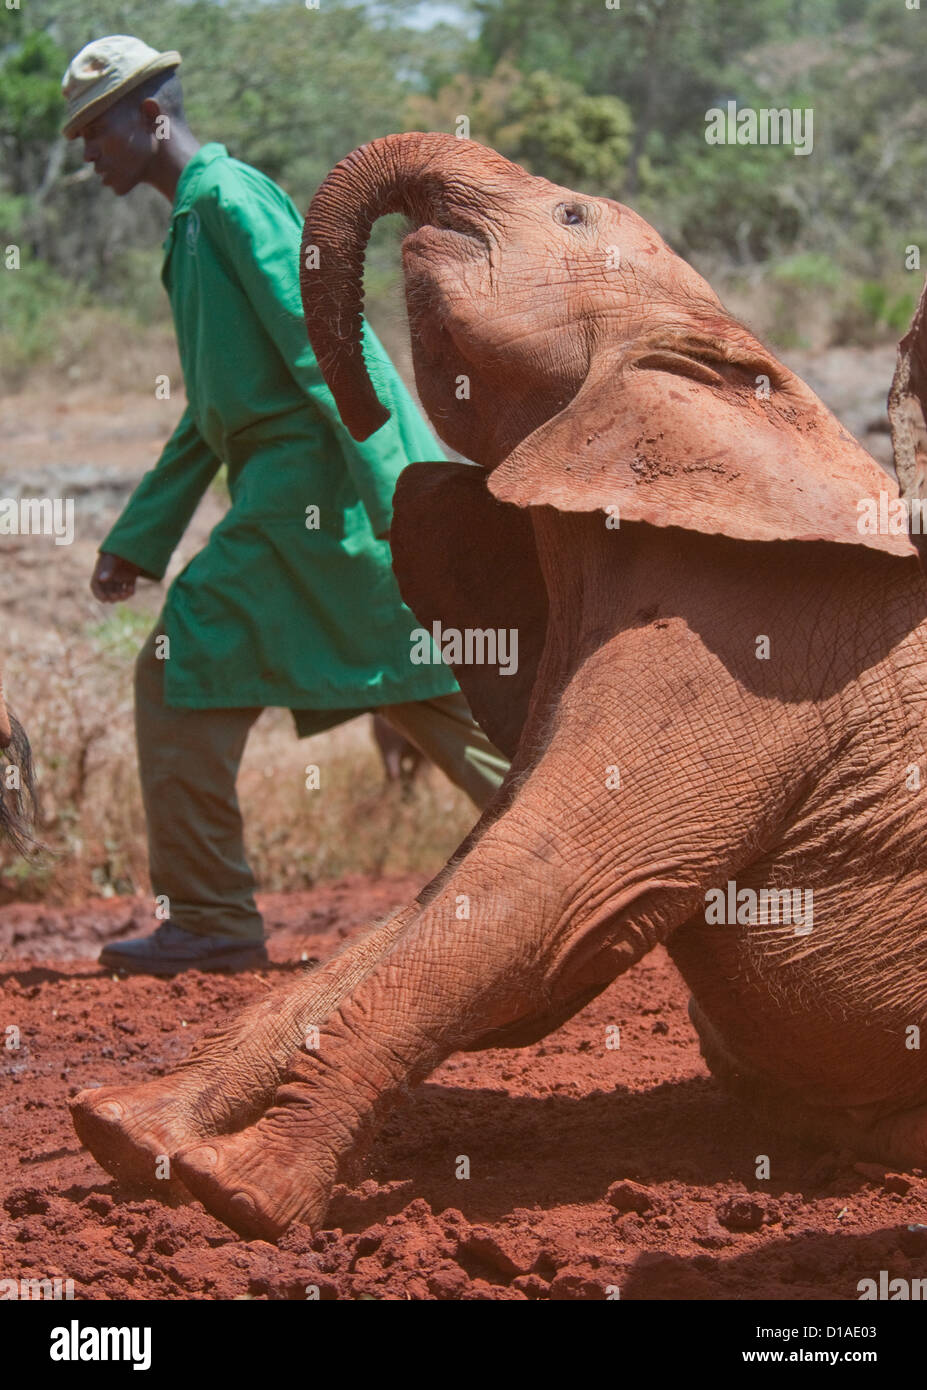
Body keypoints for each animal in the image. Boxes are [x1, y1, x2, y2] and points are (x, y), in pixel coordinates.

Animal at [71, 132, 927, 1242]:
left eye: (569, 215)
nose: (364, 409)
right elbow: (454, 889)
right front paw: (125, 1133)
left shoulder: (744, 644)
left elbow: (543, 897)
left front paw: (240, 1196)